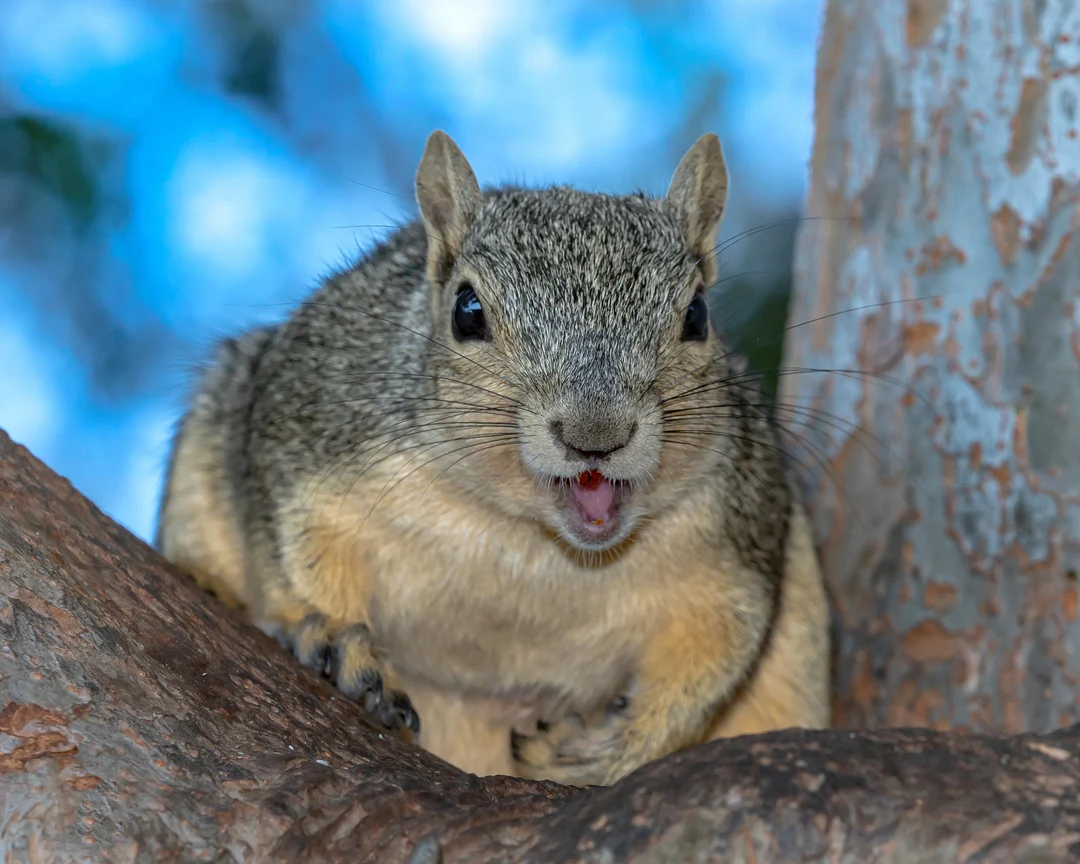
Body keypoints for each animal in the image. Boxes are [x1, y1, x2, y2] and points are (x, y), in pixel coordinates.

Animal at [156, 129, 830, 786]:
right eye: (467, 310)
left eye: (697, 315)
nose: (595, 434)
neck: (530, 540)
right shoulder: (312, 430)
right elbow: (288, 546)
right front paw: (330, 636)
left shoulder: (736, 538)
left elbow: (715, 657)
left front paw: (604, 751)